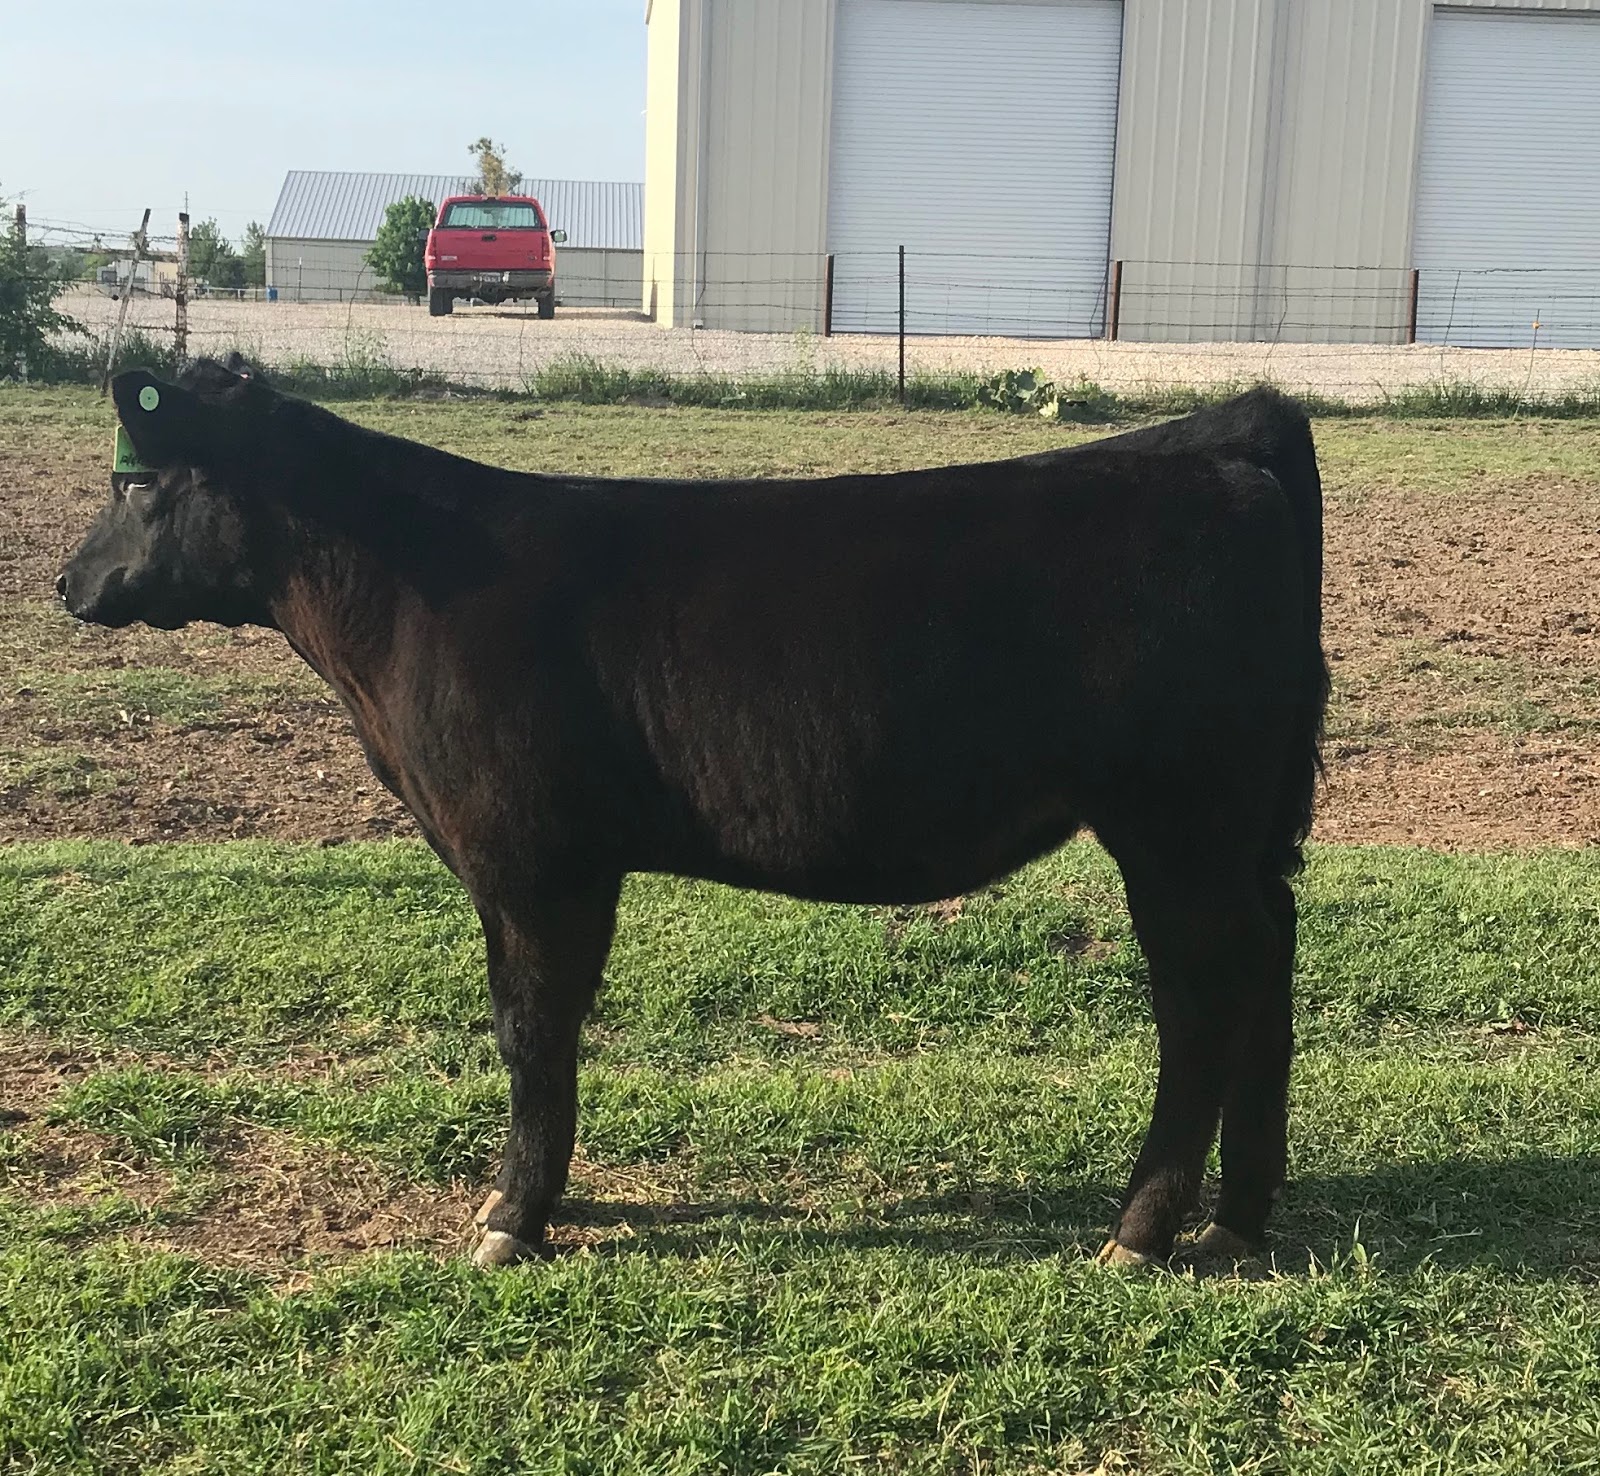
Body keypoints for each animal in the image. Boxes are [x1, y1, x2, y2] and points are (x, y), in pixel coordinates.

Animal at [59, 357, 1329, 1270]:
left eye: (132, 482)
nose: (65, 582)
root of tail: (1217, 439)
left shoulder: (532, 859)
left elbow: (531, 1030)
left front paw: (512, 1217)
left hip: (1177, 823)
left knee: (1202, 998)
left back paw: (1141, 1230)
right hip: (1244, 836)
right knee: (1269, 966)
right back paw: (1238, 1217)